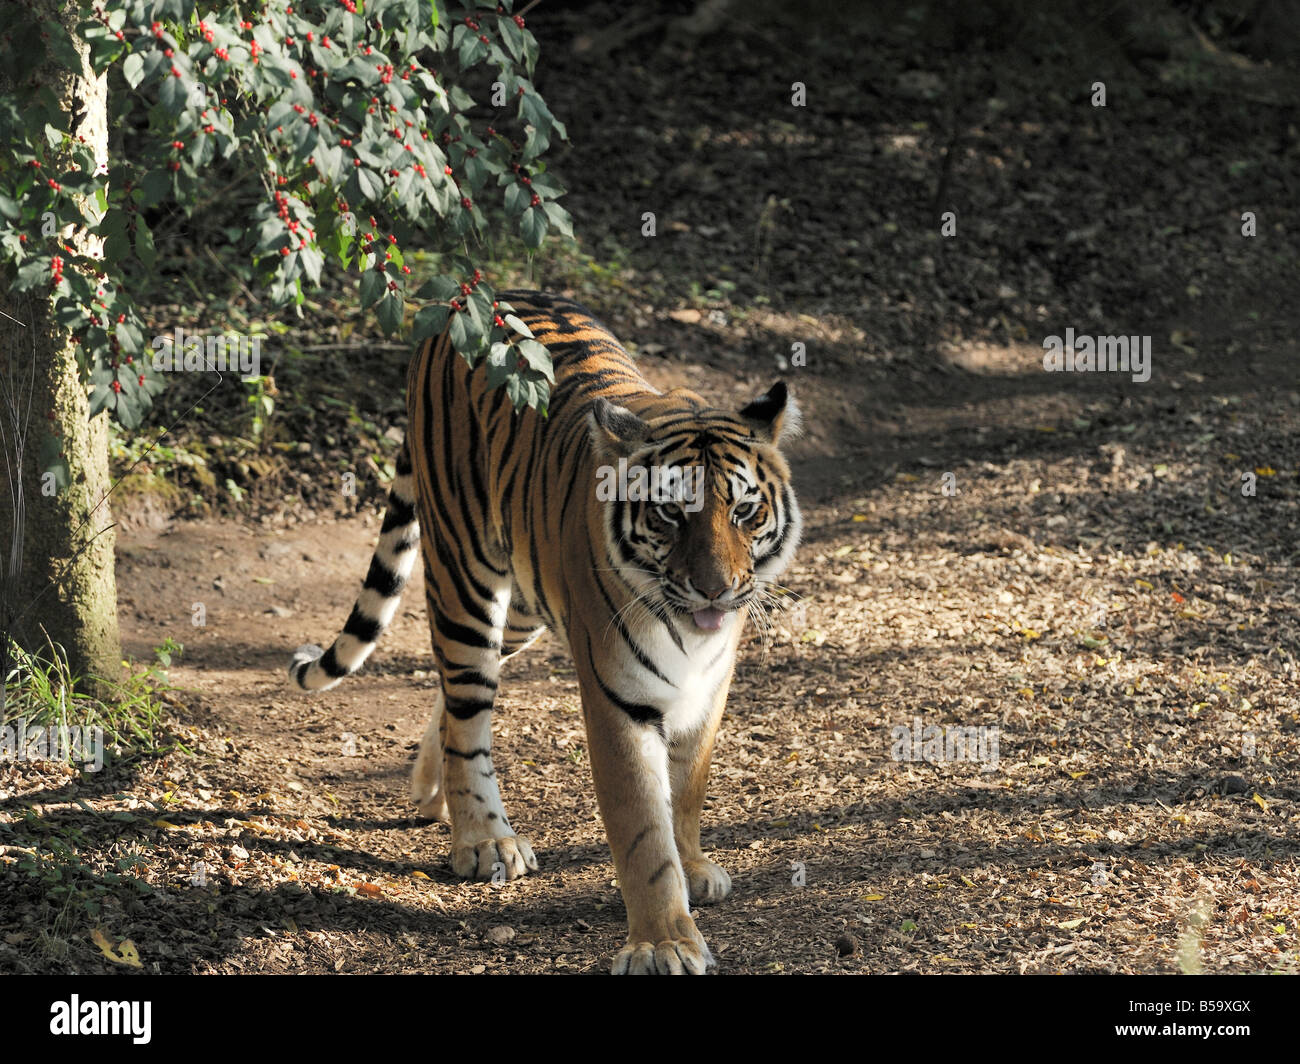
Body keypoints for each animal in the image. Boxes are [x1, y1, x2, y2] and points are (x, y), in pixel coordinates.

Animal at [287, 290, 802, 974]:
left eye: (745, 511)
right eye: (670, 513)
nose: (715, 590)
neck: (691, 635)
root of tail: (462, 300)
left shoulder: (709, 689)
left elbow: (687, 791)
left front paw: (692, 868)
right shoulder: (619, 701)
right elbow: (643, 829)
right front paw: (663, 941)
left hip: (525, 610)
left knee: (452, 693)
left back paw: (431, 791)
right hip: (466, 578)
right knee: (467, 710)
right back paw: (482, 838)